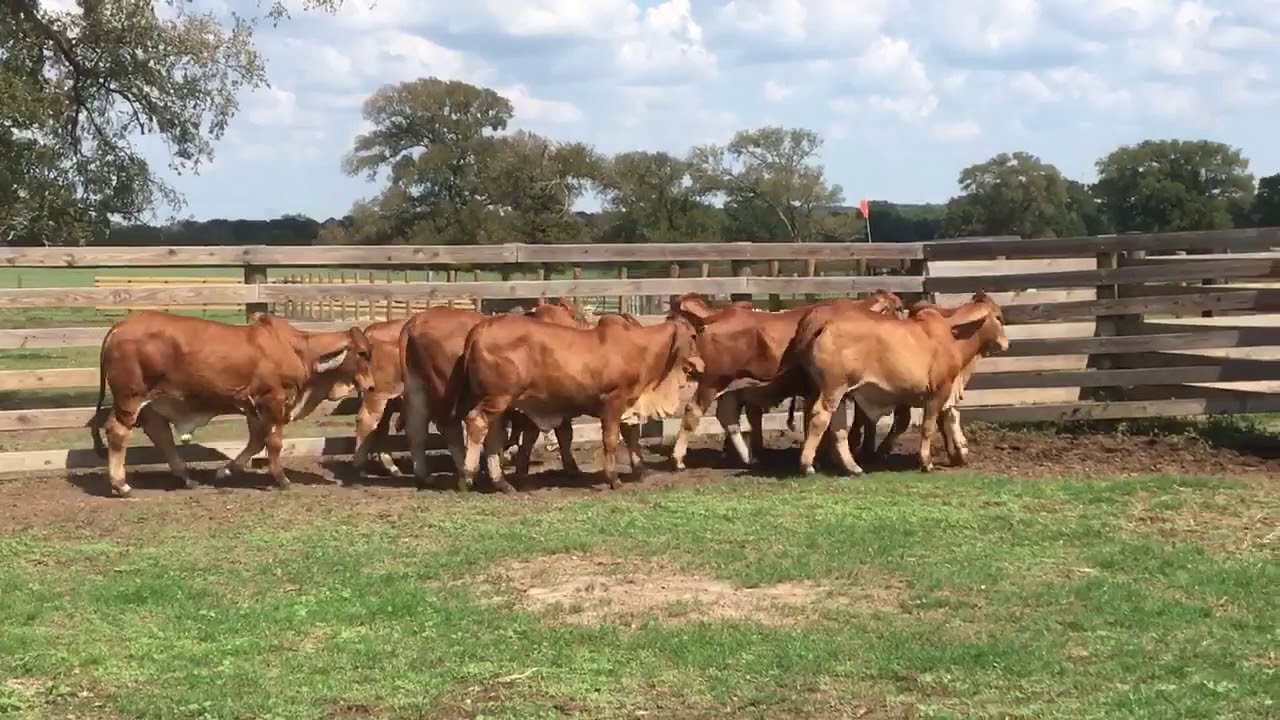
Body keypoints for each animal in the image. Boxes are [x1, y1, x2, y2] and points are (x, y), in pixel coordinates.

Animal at [88, 311, 372, 498]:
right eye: (361, 353)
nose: (370, 385)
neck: (297, 349)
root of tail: (119, 326)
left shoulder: (252, 406)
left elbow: (256, 441)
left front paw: (225, 471)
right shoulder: (273, 400)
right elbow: (274, 442)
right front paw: (282, 480)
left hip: (152, 402)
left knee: (161, 435)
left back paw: (186, 478)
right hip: (131, 397)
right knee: (118, 432)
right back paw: (121, 485)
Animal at [398, 298, 590, 490]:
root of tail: (414, 322)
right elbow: (552, 434)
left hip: (417, 389)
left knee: (416, 430)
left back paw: (425, 476)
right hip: (448, 393)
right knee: (452, 429)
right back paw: (472, 474)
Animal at [449, 310, 704, 494]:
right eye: (693, 336)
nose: (701, 365)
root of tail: (480, 330)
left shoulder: (627, 404)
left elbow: (631, 437)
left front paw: (641, 469)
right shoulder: (613, 401)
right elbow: (611, 441)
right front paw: (613, 479)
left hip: (498, 401)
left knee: (492, 435)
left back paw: (502, 483)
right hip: (498, 397)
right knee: (477, 424)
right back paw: (468, 477)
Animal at [668, 290, 907, 471]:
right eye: (897, 308)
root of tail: (719, 315)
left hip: (729, 388)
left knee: (728, 418)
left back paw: (748, 457)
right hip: (711, 382)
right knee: (692, 411)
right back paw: (678, 458)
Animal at [789, 291, 1009, 475]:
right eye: (998, 317)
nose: (1006, 343)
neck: (953, 335)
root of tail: (824, 324)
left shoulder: (942, 392)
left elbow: (950, 417)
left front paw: (961, 451)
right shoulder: (938, 391)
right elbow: (928, 427)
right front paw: (926, 462)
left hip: (839, 393)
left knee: (838, 427)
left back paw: (852, 467)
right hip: (833, 388)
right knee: (819, 417)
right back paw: (807, 465)